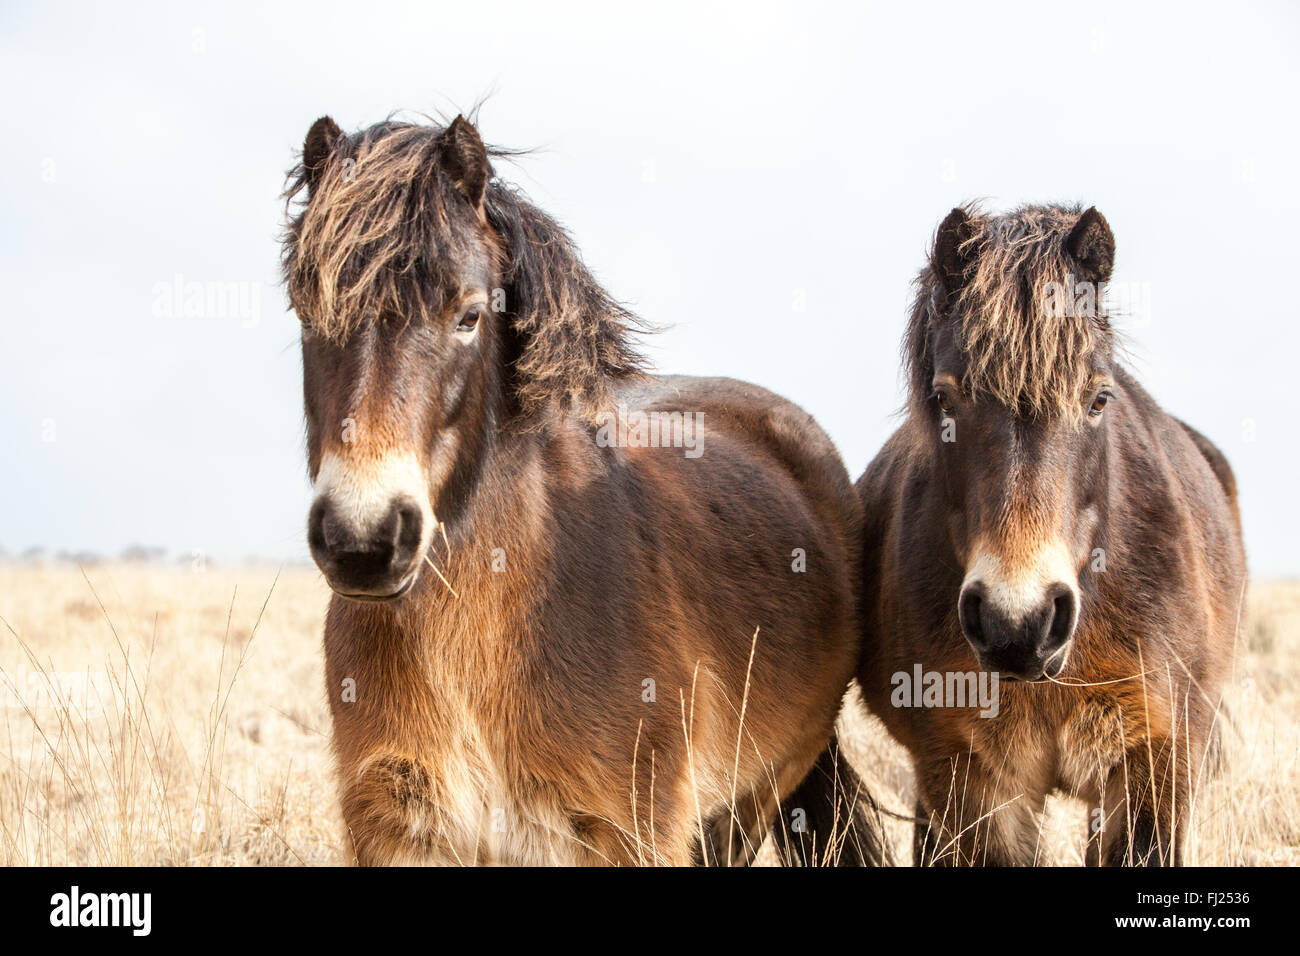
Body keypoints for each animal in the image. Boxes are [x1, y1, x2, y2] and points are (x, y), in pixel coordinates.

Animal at [281, 113, 881, 866]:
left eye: (468, 315)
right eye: (307, 314)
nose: (362, 541)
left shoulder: (630, 834)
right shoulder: (398, 832)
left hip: (748, 804)